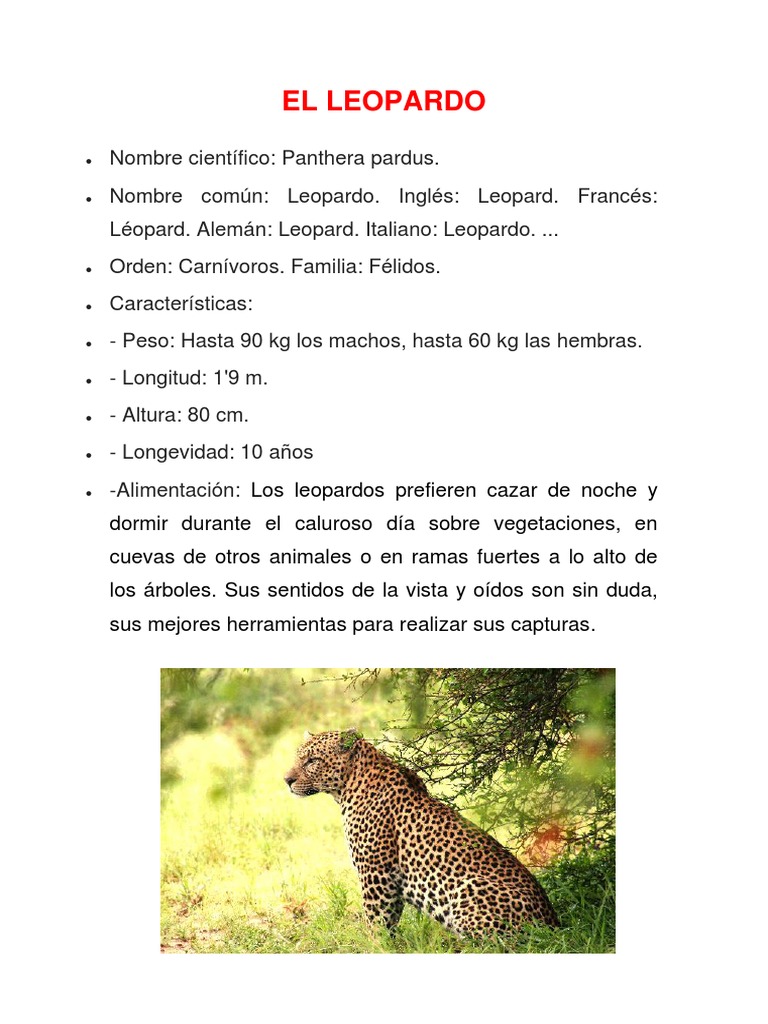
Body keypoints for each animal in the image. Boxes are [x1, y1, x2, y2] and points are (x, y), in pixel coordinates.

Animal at [284, 729, 559, 936]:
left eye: (312, 761)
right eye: (298, 758)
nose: (286, 780)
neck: (347, 787)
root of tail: (553, 923)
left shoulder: (376, 873)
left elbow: (376, 920)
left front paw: (374, 945)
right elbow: (389, 921)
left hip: (469, 888)